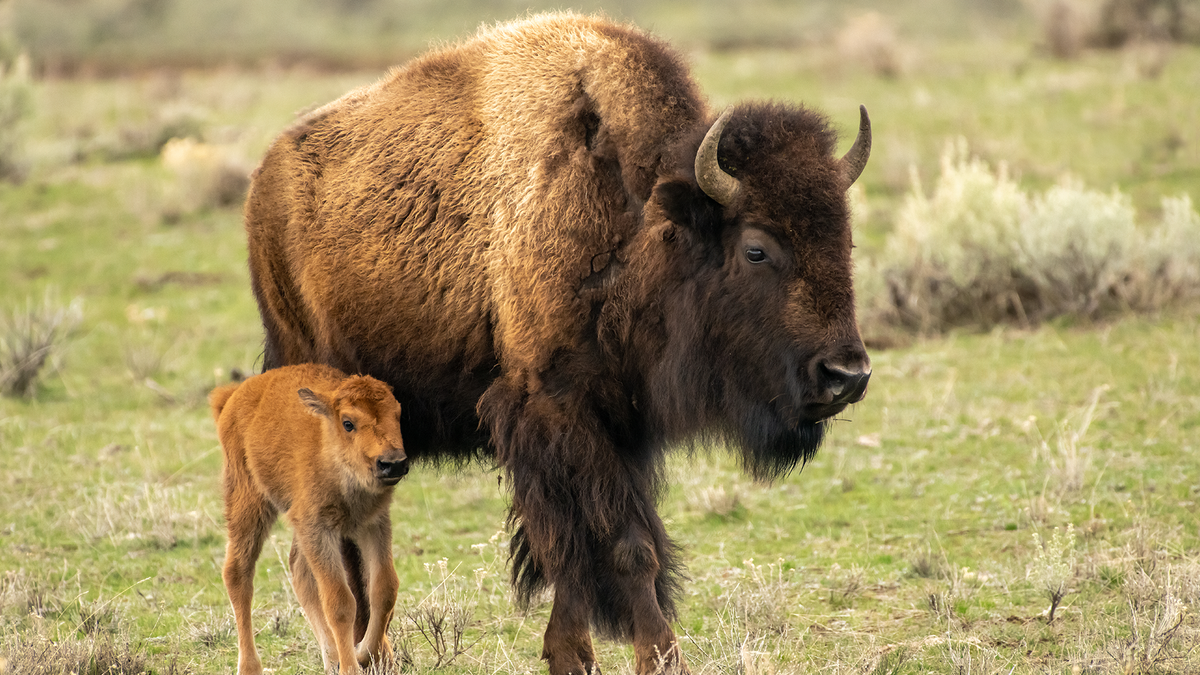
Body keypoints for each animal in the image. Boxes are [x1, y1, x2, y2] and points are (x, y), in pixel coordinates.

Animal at [243, 12, 871, 675]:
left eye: (846, 239)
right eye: (755, 248)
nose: (847, 375)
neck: (638, 221)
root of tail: (264, 182)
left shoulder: (615, 425)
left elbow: (599, 546)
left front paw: (596, 652)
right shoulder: (553, 411)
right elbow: (610, 547)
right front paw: (635, 655)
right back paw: (371, 654)